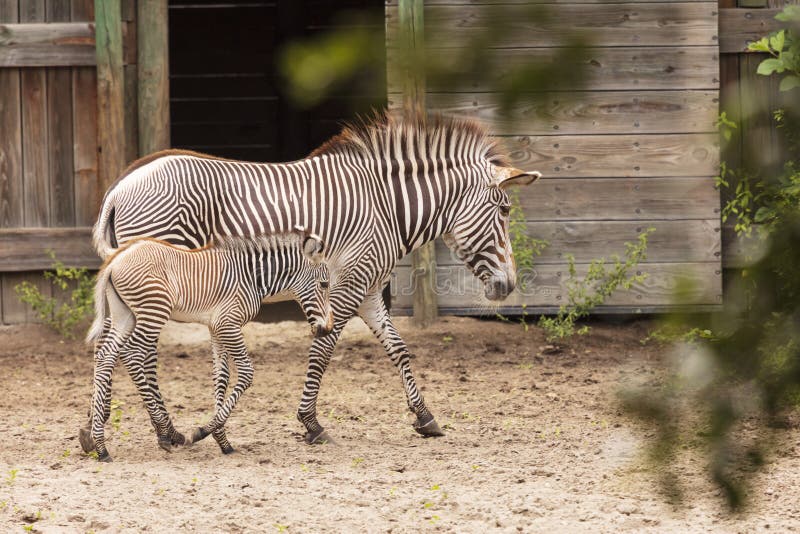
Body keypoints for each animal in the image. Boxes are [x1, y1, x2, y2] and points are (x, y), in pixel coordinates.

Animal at [80, 231, 332, 461]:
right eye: (324, 284)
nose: (327, 330)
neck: (253, 277)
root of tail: (116, 259)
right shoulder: (228, 324)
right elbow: (246, 373)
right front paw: (202, 432)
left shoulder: (216, 328)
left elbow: (221, 376)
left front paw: (222, 440)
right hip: (154, 311)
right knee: (131, 354)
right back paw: (164, 434)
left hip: (125, 314)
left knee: (106, 354)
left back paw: (100, 445)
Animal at [92, 112, 541, 445]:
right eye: (504, 210)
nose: (508, 286)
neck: (387, 207)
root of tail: (120, 185)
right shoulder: (350, 281)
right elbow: (324, 347)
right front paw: (310, 422)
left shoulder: (370, 289)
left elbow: (398, 348)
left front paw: (425, 416)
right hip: (160, 280)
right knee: (138, 352)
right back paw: (165, 430)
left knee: (115, 348)